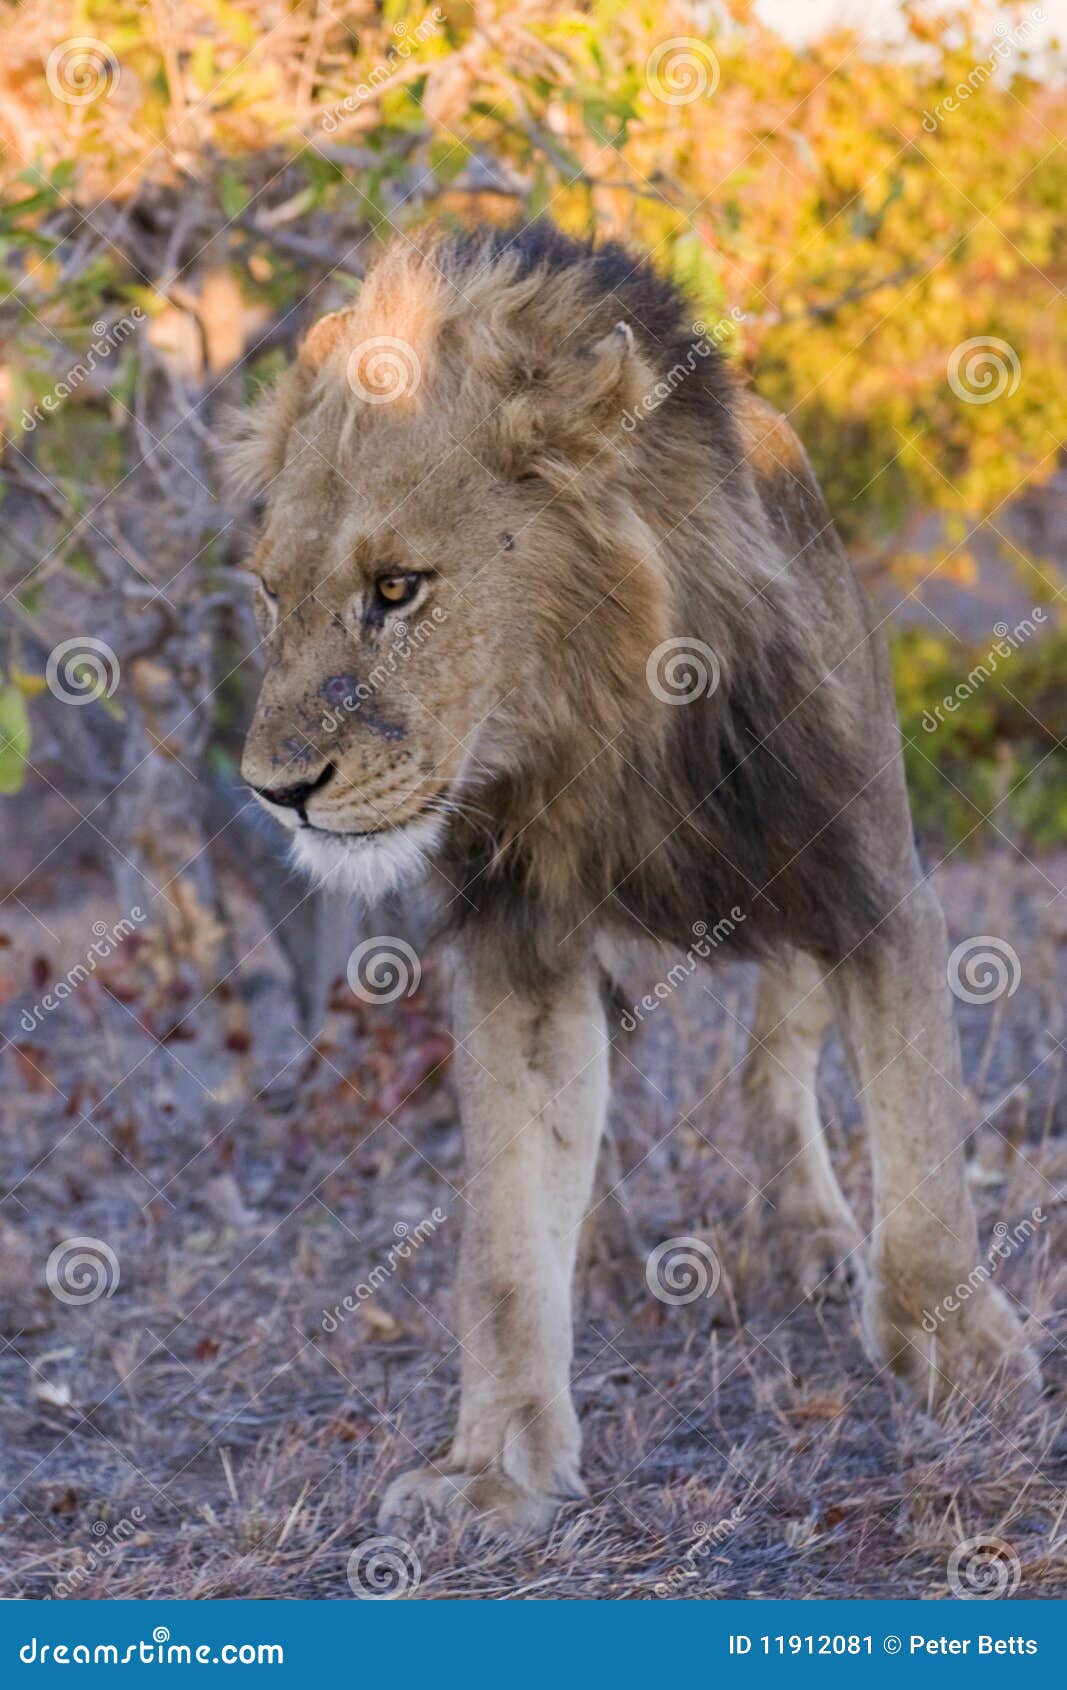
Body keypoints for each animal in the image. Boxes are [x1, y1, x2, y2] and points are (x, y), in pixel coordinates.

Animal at [229, 221, 1038, 1537]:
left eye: (397, 587)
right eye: (268, 594)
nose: (272, 790)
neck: (589, 736)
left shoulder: (869, 888)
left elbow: (920, 1146)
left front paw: (965, 1360)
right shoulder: (518, 951)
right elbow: (505, 1238)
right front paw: (497, 1462)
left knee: (771, 1063)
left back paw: (814, 1236)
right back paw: (606, 1254)